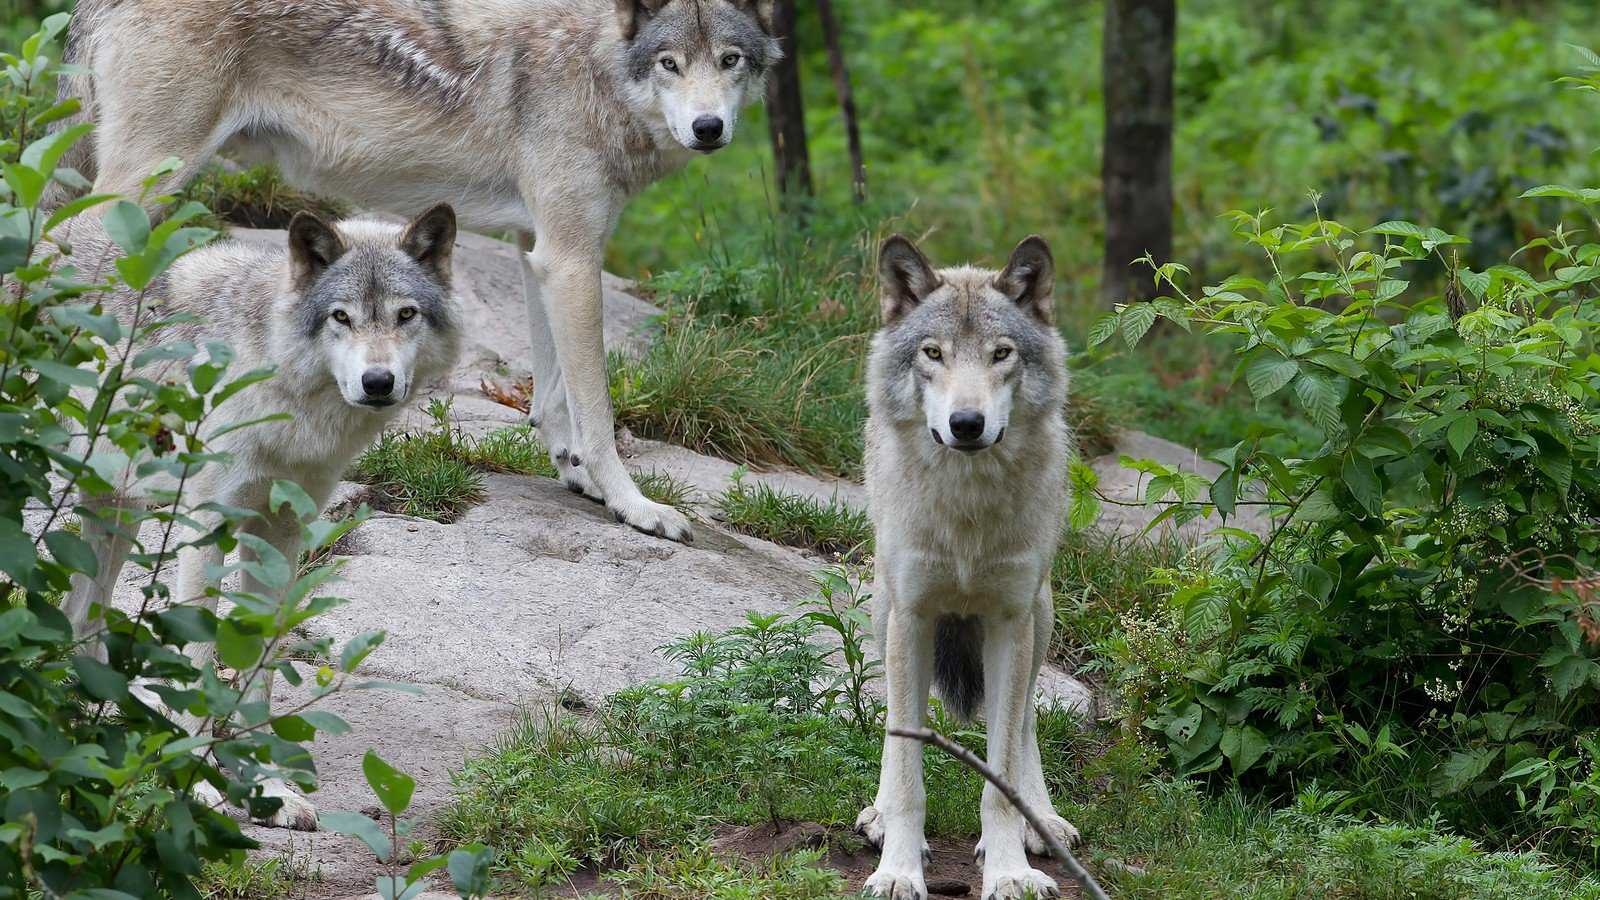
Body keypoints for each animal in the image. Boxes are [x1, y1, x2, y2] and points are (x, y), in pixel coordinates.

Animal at [57, 204, 463, 830]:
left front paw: (268, 790)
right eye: (341, 317)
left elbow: (261, 672)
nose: (377, 382)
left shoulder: (281, 536)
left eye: (406, 314)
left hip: (120, 512)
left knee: (79, 620)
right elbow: (200, 657)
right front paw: (194, 784)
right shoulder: (203, 529)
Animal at [58, 0, 782, 544]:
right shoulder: (573, 257)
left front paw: (574, 473)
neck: (594, 67)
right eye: (669, 63)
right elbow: (597, 410)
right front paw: (634, 506)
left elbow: (552, 395)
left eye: (730, 60)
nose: (708, 127)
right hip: (142, 188)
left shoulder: (540, 249)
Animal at [855, 235, 1079, 900]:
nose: (967, 423)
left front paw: (1010, 871)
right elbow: (909, 773)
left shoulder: (1009, 621)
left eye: (1001, 354)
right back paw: (878, 818)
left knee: (1026, 717)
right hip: (884, 610)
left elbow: (999, 777)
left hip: (1040, 615)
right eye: (933, 353)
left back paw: (1043, 821)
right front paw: (898, 871)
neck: (967, 517)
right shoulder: (912, 616)